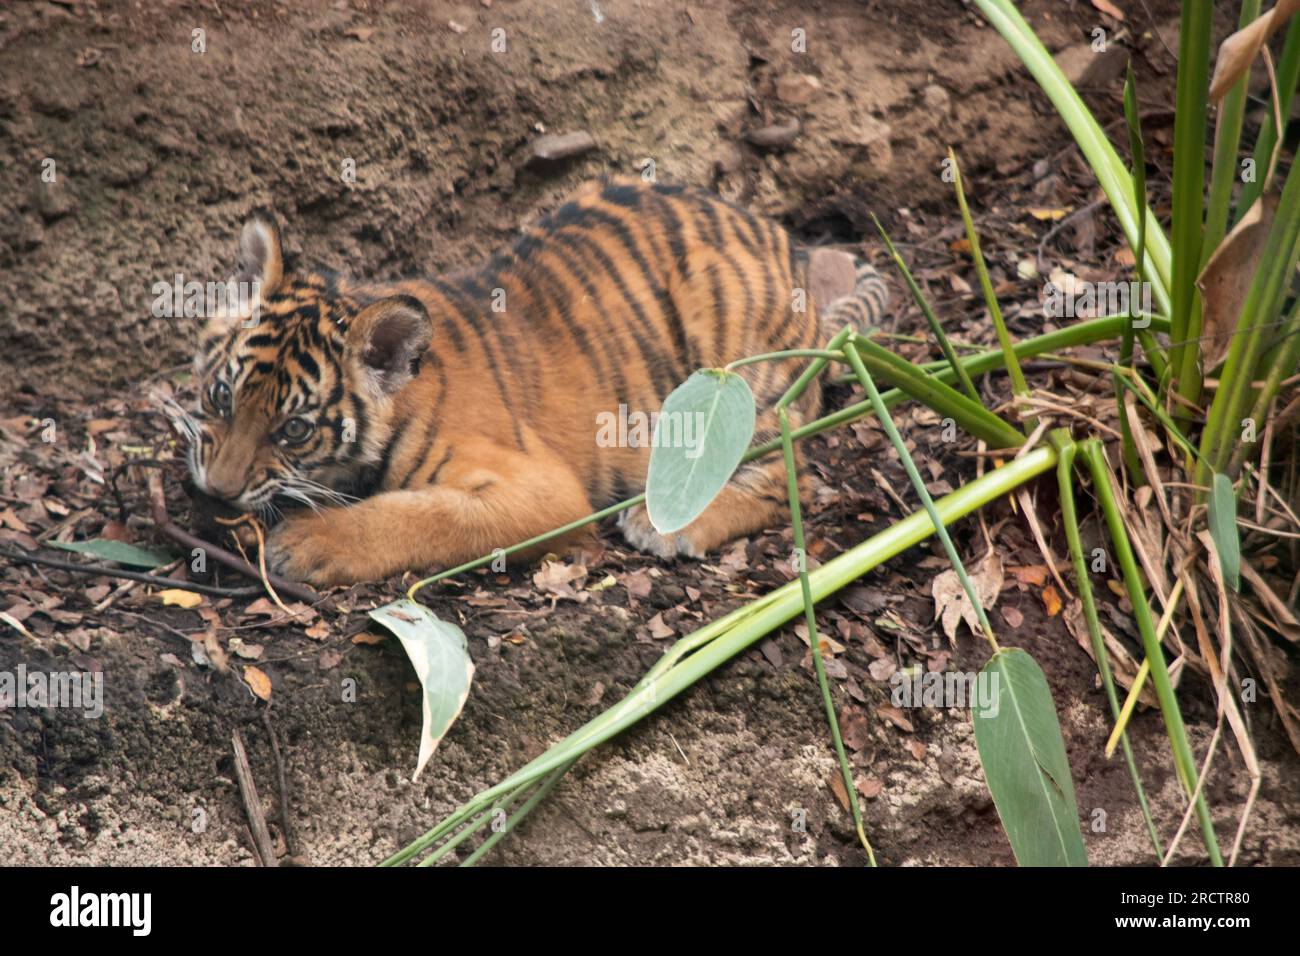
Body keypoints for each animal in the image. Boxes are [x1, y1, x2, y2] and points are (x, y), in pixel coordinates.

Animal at [185, 178, 889, 586]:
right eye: (221, 396)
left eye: (294, 430)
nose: (216, 493)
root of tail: (781, 240)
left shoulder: (545, 492)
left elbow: (426, 515)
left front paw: (309, 543)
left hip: (728, 349)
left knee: (787, 480)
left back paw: (663, 524)